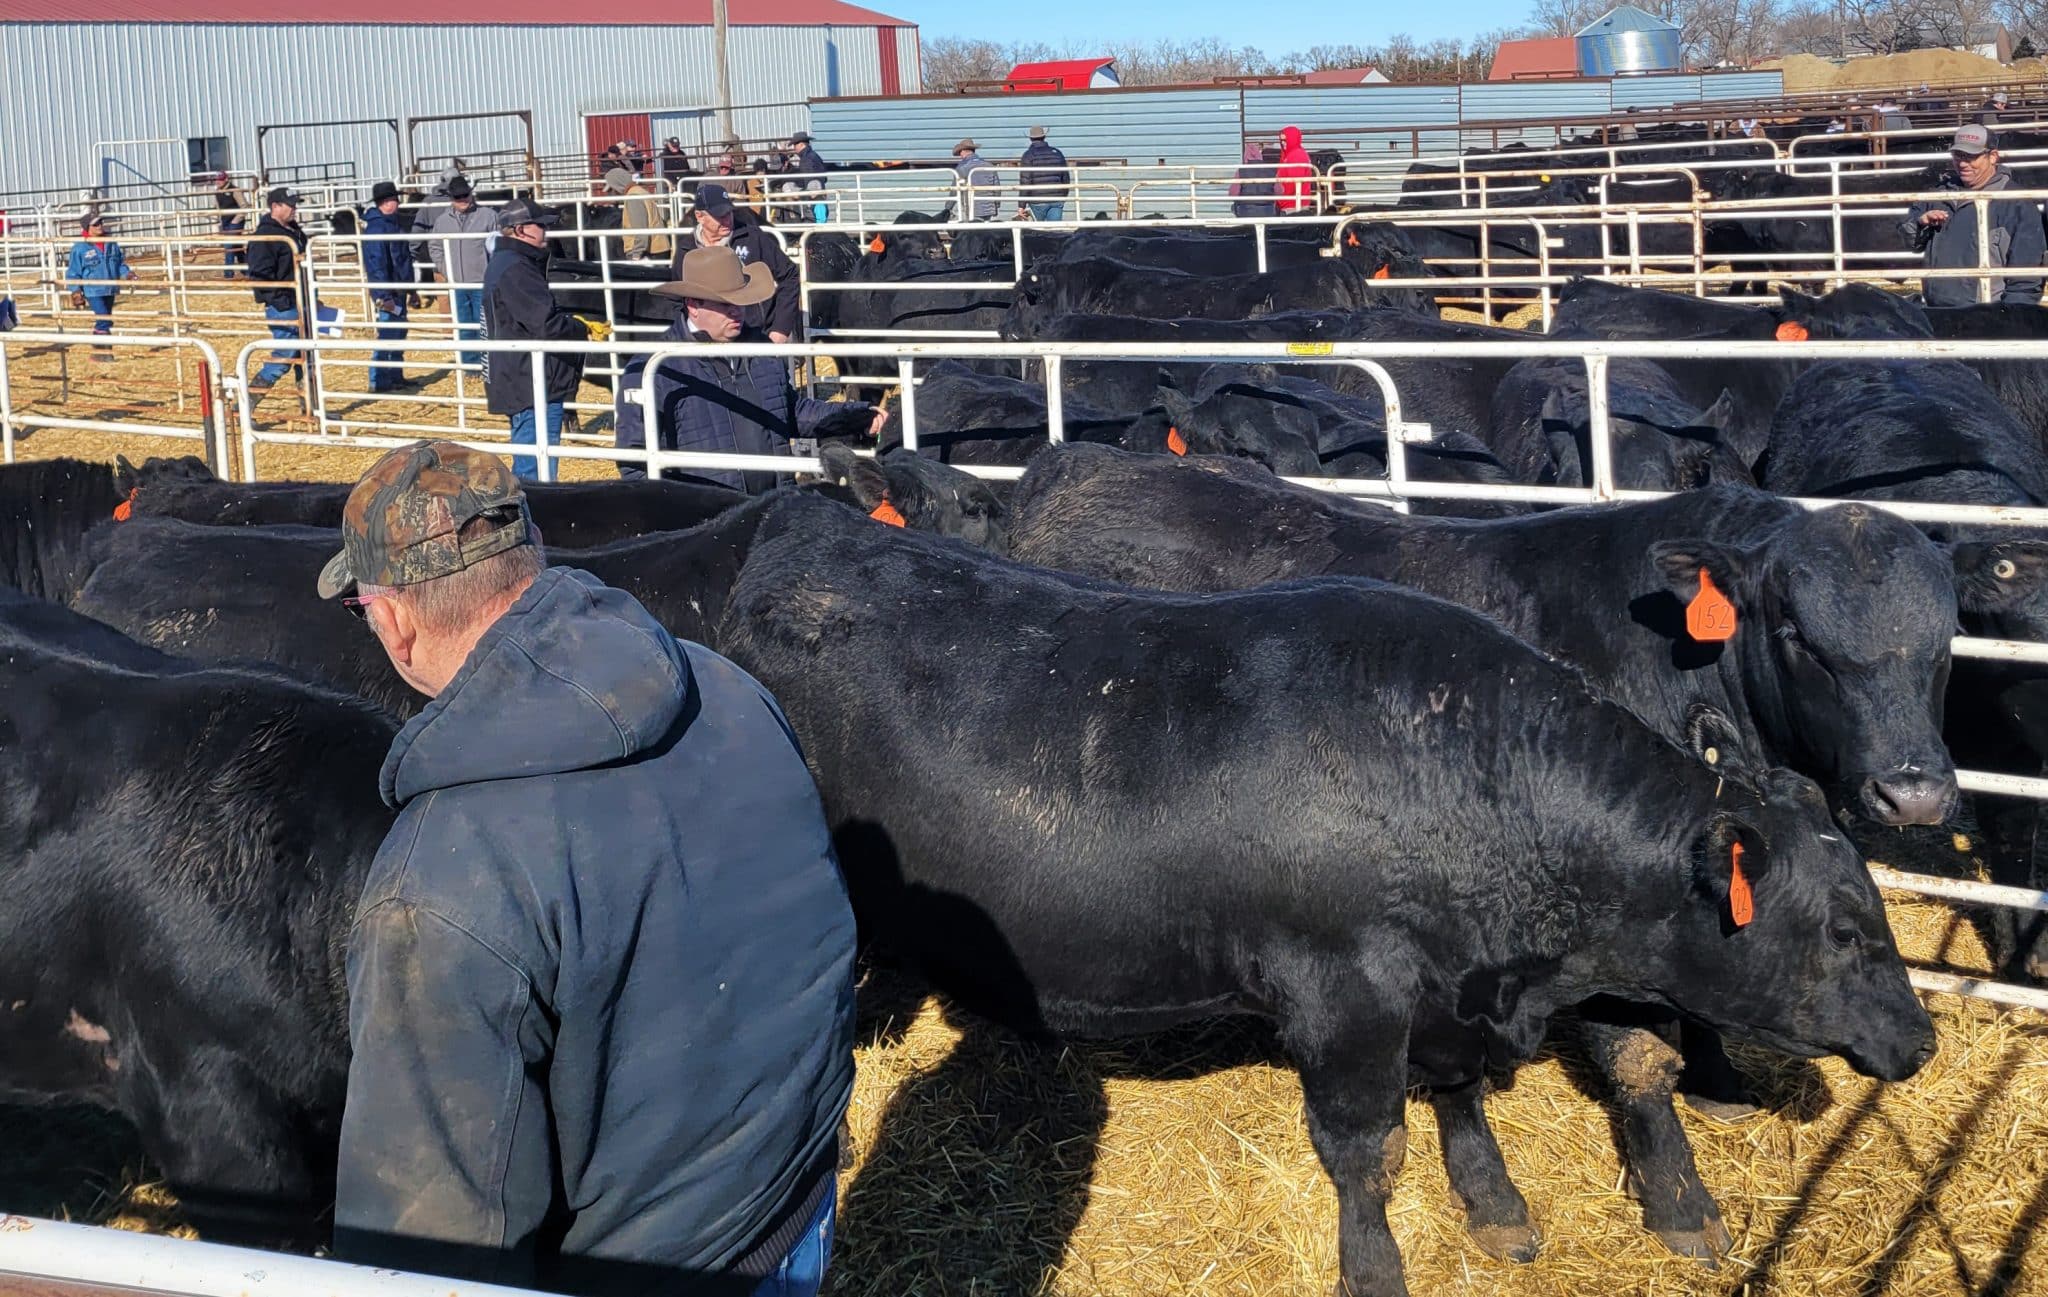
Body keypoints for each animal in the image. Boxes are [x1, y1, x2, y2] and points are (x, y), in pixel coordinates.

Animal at [711, 488, 1934, 1297]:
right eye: (1841, 926)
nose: (1919, 1040)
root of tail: (798, 528)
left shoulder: (1444, 990)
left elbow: (1458, 1096)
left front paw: (1495, 1204)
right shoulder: (1344, 999)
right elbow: (1366, 1152)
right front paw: (1377, 1269)